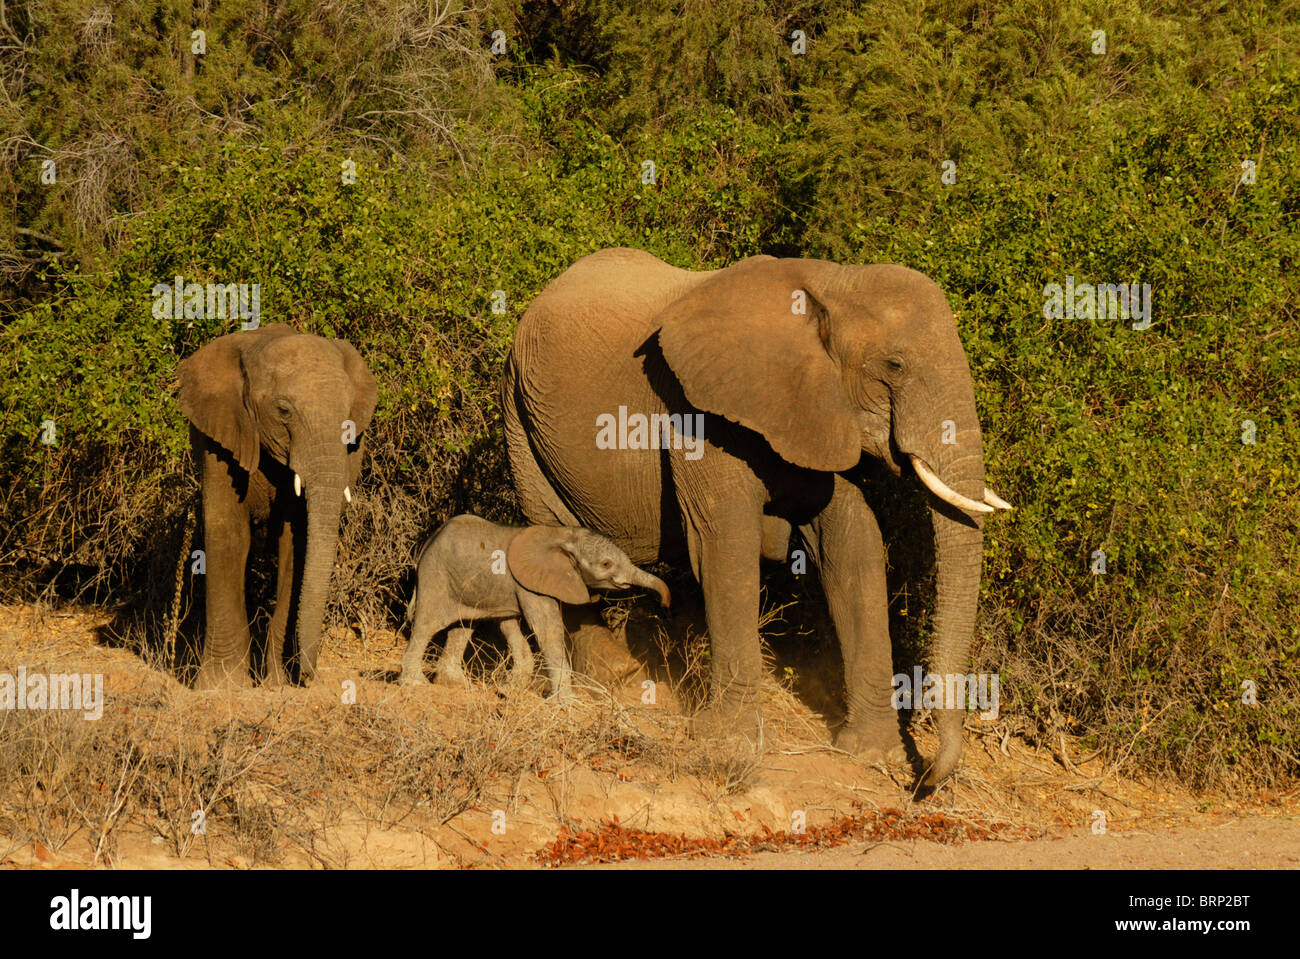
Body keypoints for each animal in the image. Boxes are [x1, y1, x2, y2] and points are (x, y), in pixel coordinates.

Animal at [177, 324, 378, 690]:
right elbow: (228, 533)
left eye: (348, 416)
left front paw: (278, 685)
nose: (310, 677)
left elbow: (295, 545)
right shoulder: (219, 436)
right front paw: (223, 687)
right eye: (283, 410)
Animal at [399, 514, 671, 697]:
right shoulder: (531, 584)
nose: (666, 603)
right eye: (606, 564)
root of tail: (427, 543)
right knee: (426, 624)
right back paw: (415, 684)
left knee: (463, 627)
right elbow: (547, 628)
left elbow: (511, 626)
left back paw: (455, 685)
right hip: (435, 575)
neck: (564, 534)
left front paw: (509, 690)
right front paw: (566, 702)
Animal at [502, 248, 1011, 786]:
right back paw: (615, 677)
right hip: (519, 412)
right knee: (552, 530)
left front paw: (872, 754)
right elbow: (726, 546)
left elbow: (852, 544)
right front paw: (730, 742)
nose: (925, 781)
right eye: (894, 365)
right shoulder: (696, 410)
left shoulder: (816, 408)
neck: (832, 282)